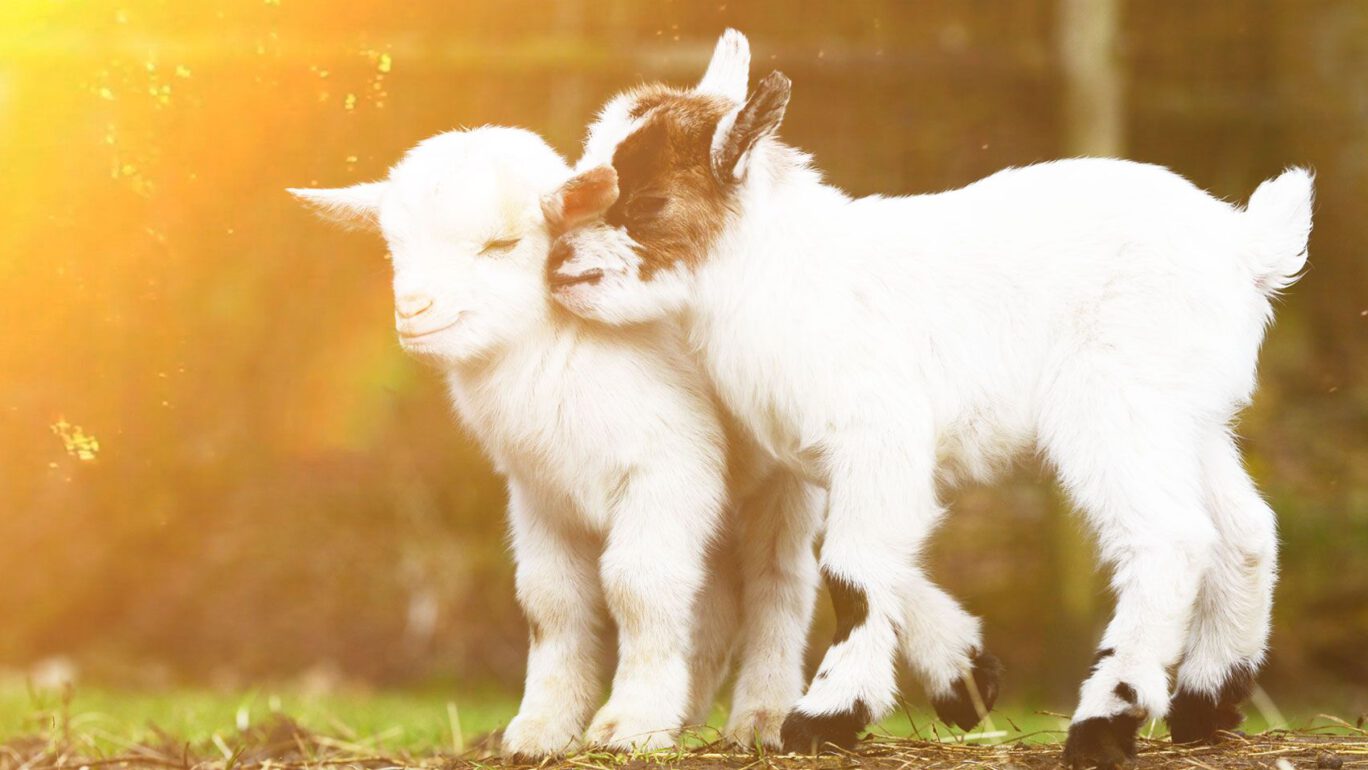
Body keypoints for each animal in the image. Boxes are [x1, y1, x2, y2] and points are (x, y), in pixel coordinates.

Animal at [290, 126, 822, 757]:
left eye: (502, 243)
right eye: (394, 247)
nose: (413, 311)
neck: (565, 349)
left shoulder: (666, 469)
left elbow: (637, 586)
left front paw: (628, 723)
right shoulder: (539, 490)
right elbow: (550, 600)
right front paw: (546, 726)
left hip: (785, 474)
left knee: (778, 582)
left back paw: (760, 717)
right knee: (712, 591)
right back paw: (688, 718)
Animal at [544, 30, 1312, 769]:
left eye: (649, 202)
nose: (558, 268)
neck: (784, 276)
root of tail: (1246, 248)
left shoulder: (879, 434)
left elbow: (852, 570)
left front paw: (826, 719)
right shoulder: (853, 463)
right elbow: (884, 557)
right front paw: (966, 677)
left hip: (1115, 400)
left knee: (1170, 536)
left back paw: (1104, 723)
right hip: (1184, 413)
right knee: (1244, 529)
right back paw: (1207, 704)